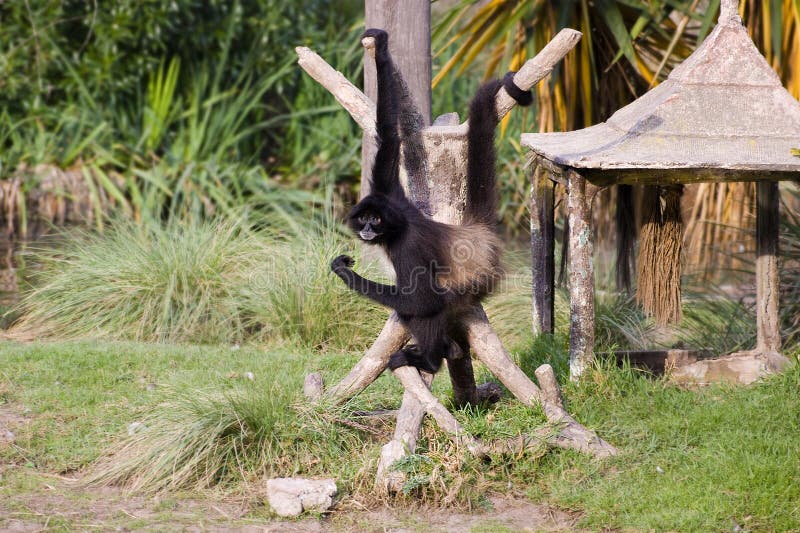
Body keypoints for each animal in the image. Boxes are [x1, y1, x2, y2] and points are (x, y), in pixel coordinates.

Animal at [330, 28, 532, 374]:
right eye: (365, 218)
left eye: (376, 220)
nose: (367, 229)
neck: (396, 227)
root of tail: (477, 234)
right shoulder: (389, 192)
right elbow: (388, 133)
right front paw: (380, 50)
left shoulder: (406, 247)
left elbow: (423, 301)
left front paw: (345, 274)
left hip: (474, 280)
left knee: (431, 305)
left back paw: (429, 359)